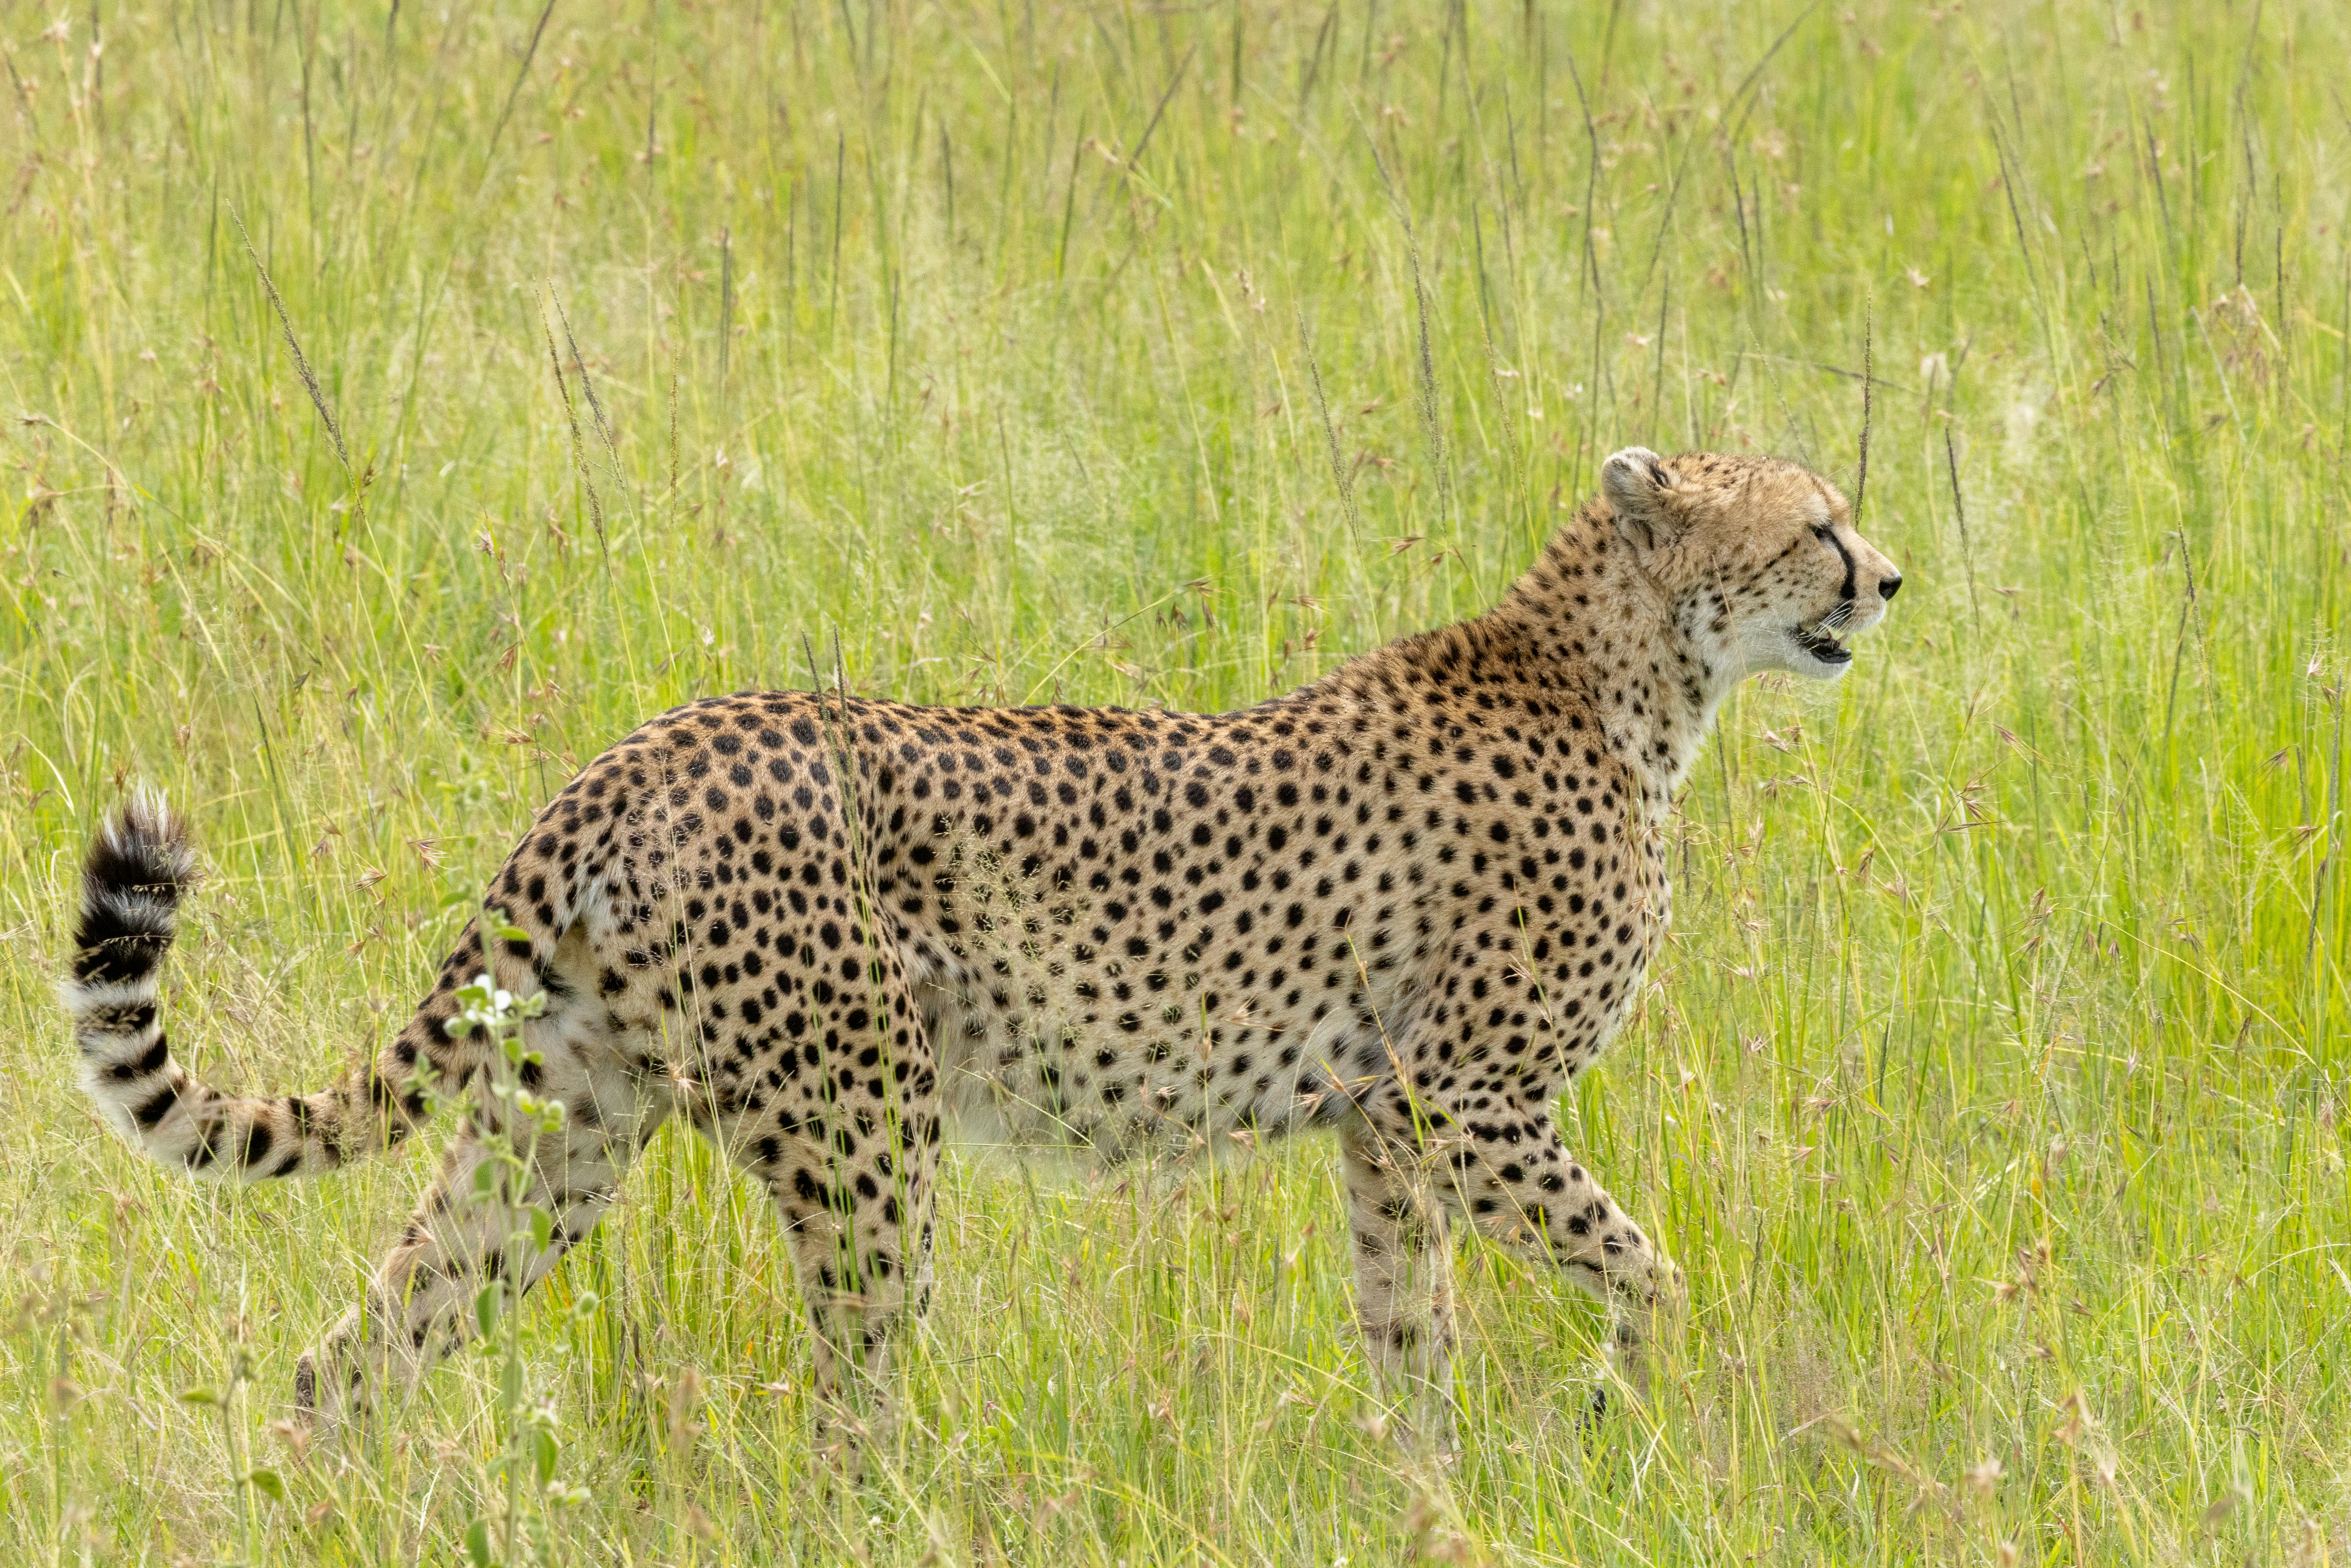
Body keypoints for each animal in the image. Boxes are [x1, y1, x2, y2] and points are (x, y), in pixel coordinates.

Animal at [60, 446, 1901, 1452]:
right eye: (1812, 522)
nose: (1885, 576)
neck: (1627, 673)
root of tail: (638, 746)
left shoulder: (1384, 1126)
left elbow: (1409, 1337)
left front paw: (1430, 1489)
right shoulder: (1466, 1096)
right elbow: (1645, 1270)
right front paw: (1617, 1413)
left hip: (563, 1128)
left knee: (350, 1353)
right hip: (864, 1129)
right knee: (848, 1418)